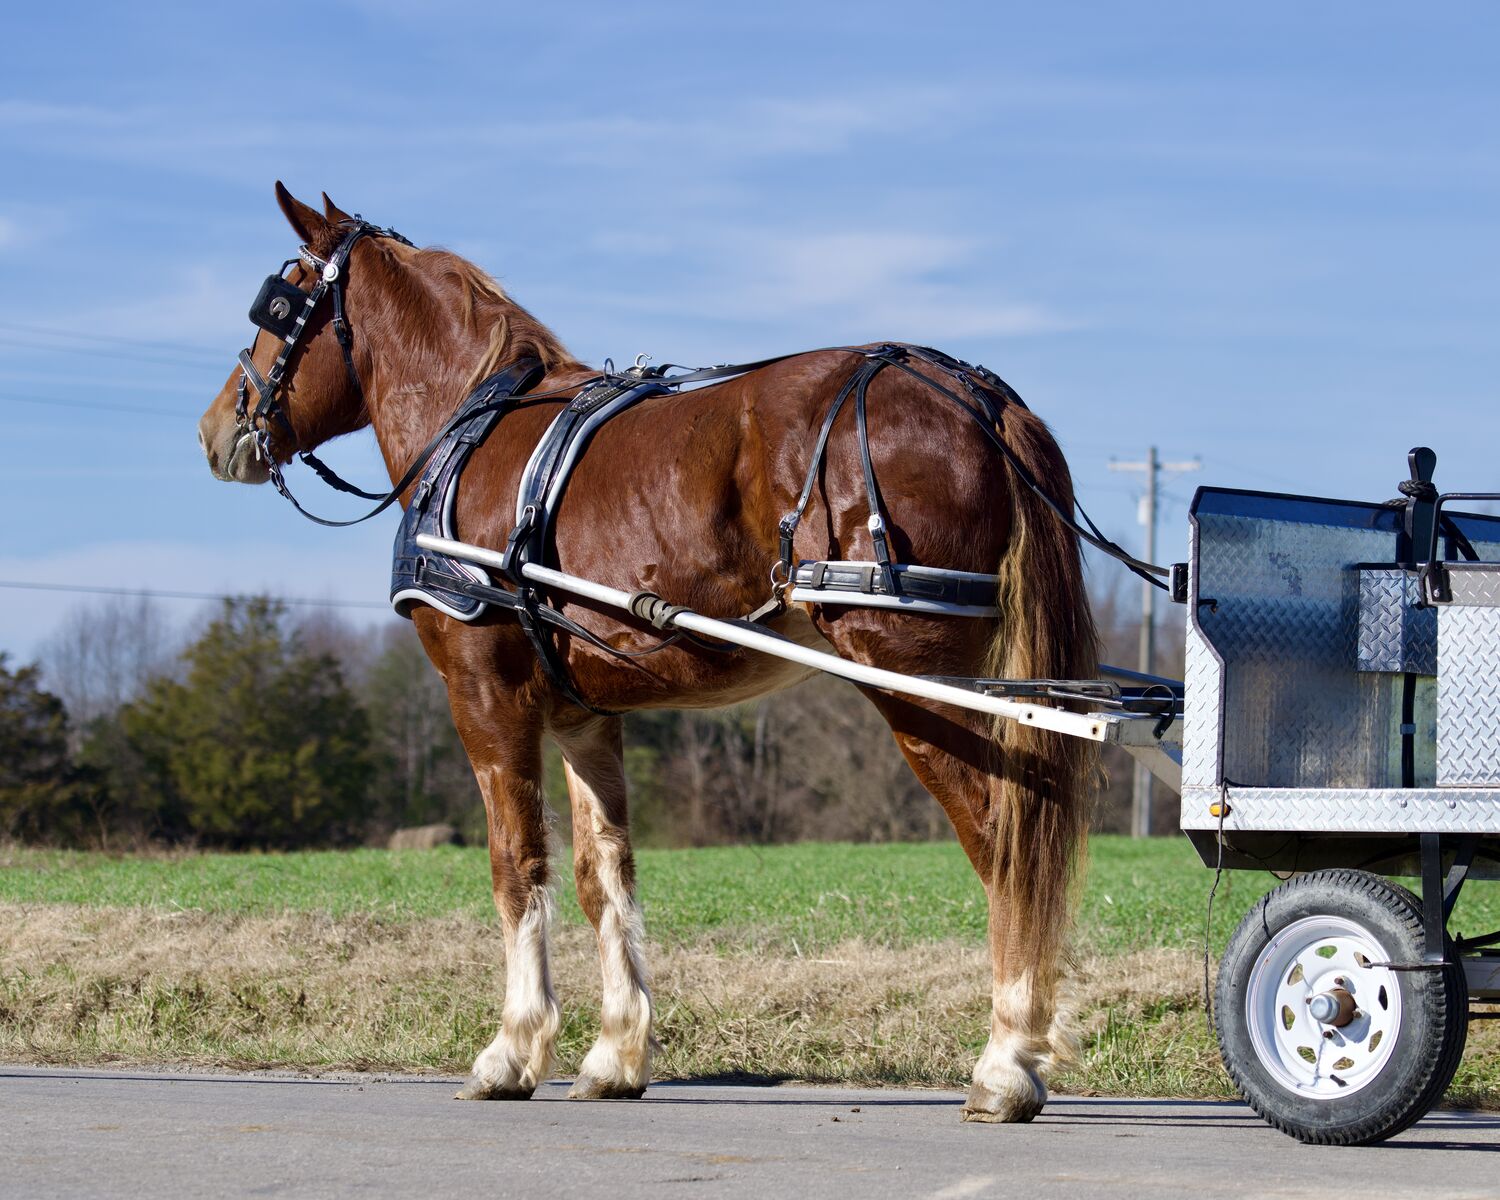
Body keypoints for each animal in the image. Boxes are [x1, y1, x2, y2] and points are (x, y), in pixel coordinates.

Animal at [197, 183, 1098, 1122]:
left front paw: (511, 1052)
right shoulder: (584, 715)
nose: (216, 428)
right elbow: (603, 875)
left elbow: (515, 867)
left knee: (1004, 847)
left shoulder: (485, 696)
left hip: (915, 679)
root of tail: (972, 391)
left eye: (278, 304)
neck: (473, 430)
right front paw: (615, 1054)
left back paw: (1007, 1063)